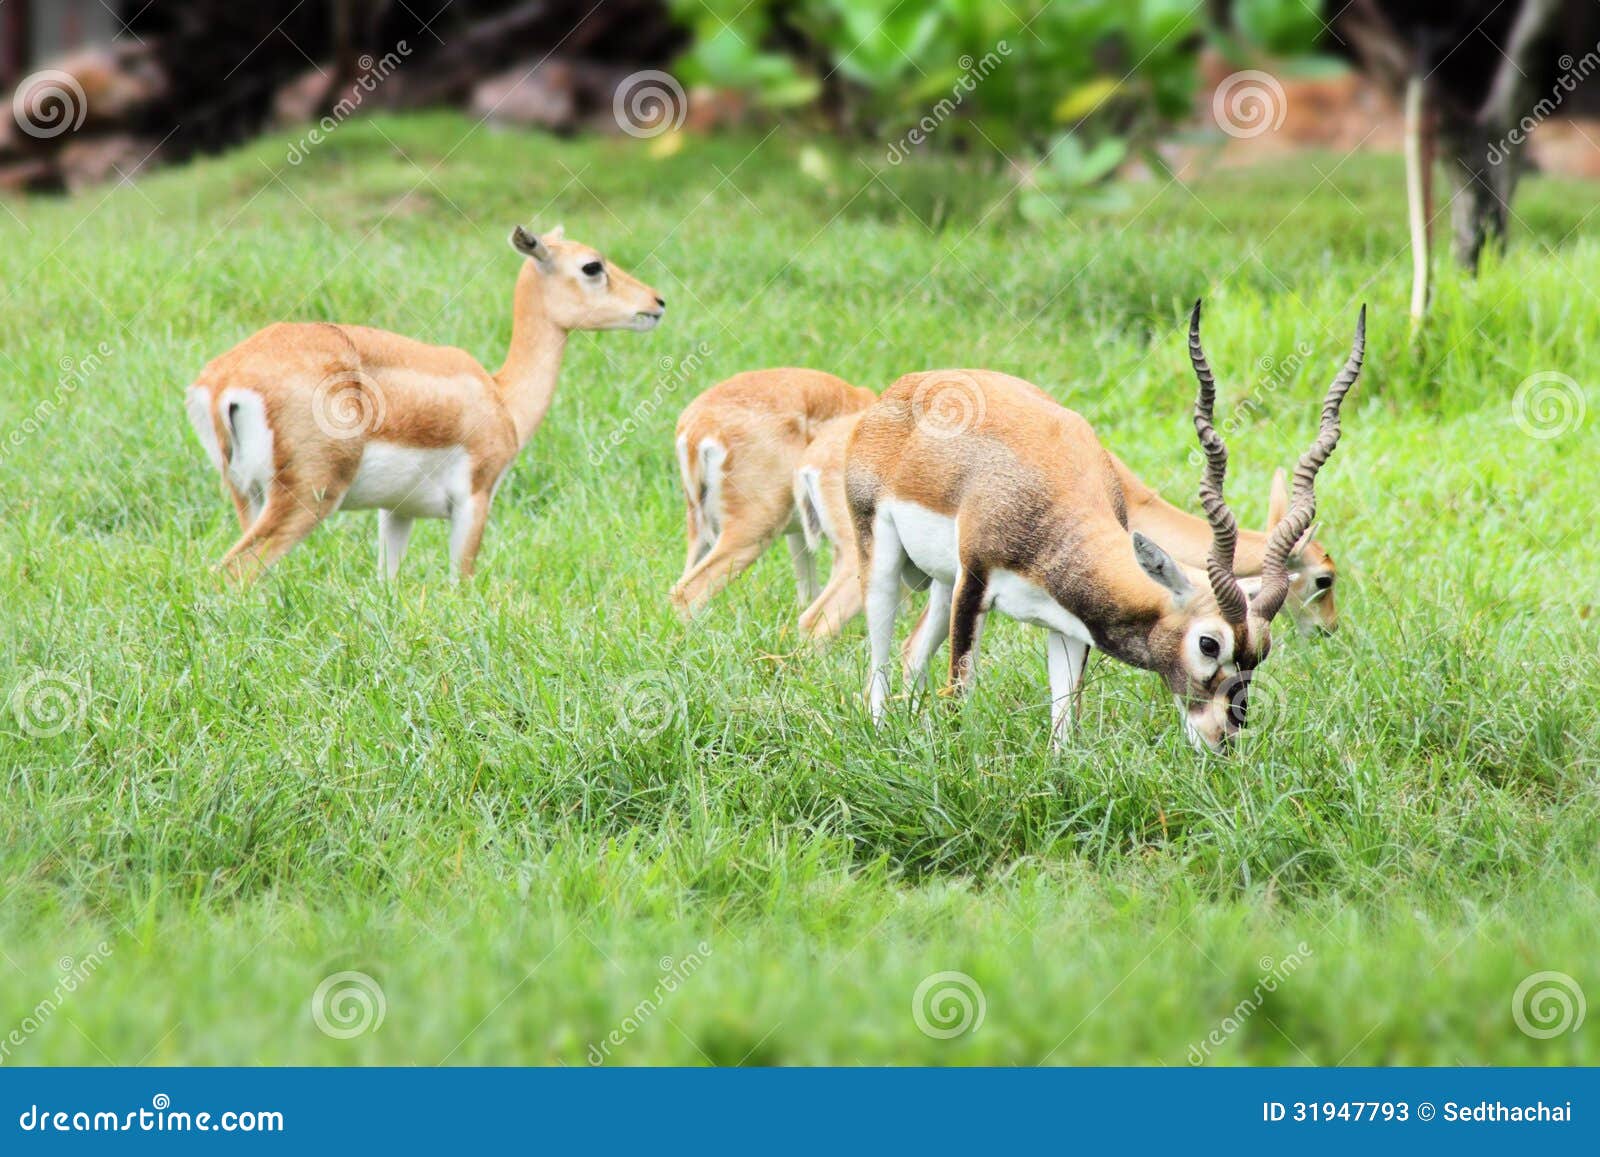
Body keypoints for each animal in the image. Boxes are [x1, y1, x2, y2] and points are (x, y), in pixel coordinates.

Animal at [185, 225, 665, 582]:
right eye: (592, 266)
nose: (656, 302)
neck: (500, 396)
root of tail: (226, 379)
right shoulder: (474, 499)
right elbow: (461, 582)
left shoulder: (397, 511)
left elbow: (387, 581)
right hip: (308, 497)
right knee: (233, 573)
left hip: (248, 496)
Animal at [845, 301, 1363, 751]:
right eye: (1208, 642)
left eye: (1262, 651)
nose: (1223, 740)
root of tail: (905, 387)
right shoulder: (973, 587)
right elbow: (958, 696)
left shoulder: (1068, 625)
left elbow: (1064, 727)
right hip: (884, 560)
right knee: (877, 663)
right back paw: (879, 732)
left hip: (941, 581)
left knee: (913, 654)